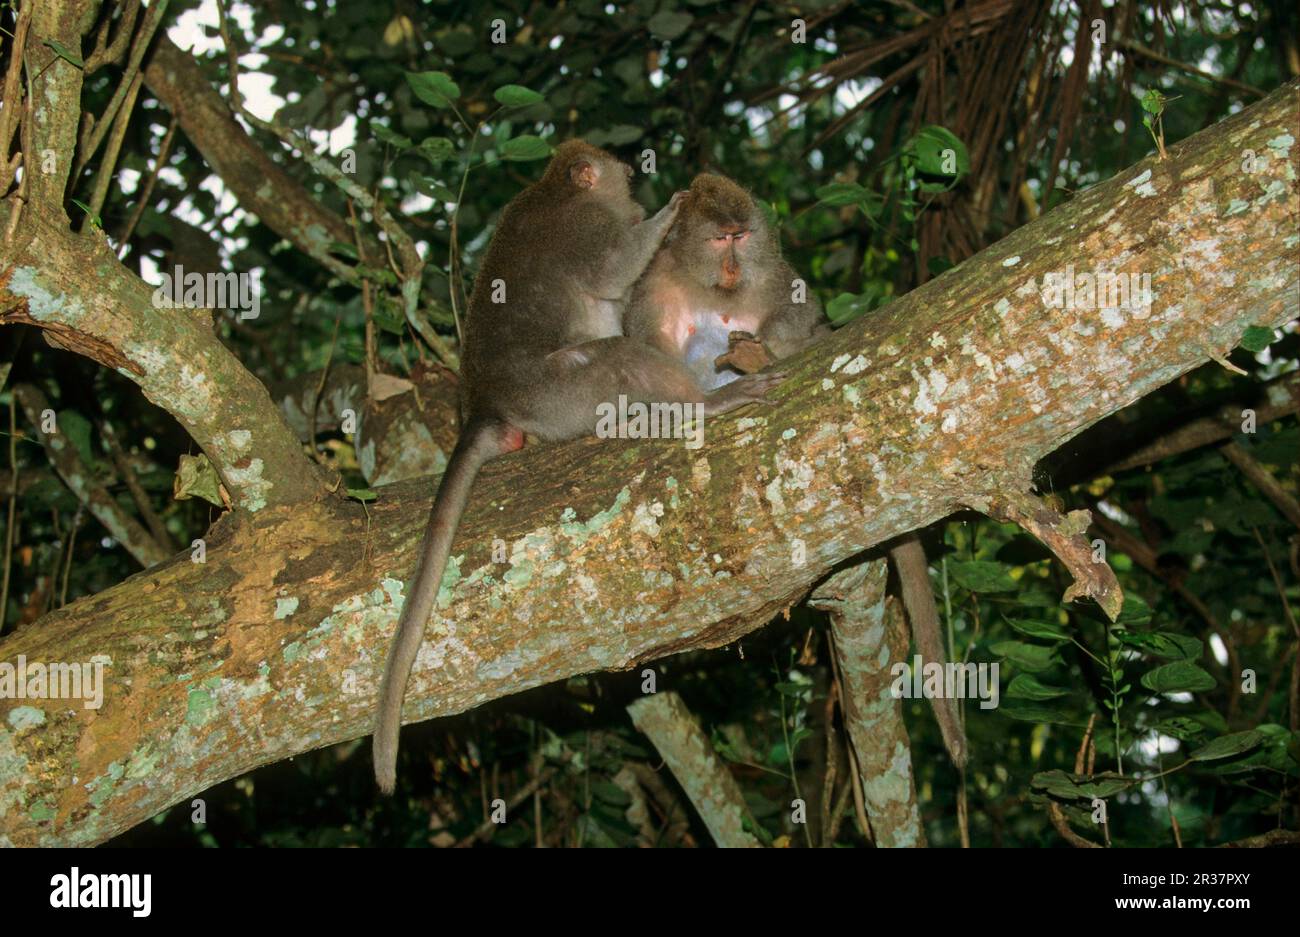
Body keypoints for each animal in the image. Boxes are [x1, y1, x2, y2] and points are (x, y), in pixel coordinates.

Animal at [373, 143, 783, 793]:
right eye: (623, 175)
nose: (637, 181)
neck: (553, 189)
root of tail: (490, 404)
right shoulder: (586, 227)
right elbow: (614, 269)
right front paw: (668, 212)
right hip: (561, 392)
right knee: (615, 359)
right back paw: (704, 404)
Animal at [625, 172, 966, 768]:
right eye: (720, 239)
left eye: (741, 236)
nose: (734, 263)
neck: (710, 288)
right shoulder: (649, 292)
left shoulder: (775, 275)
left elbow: (808, 325)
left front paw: (766, 349)